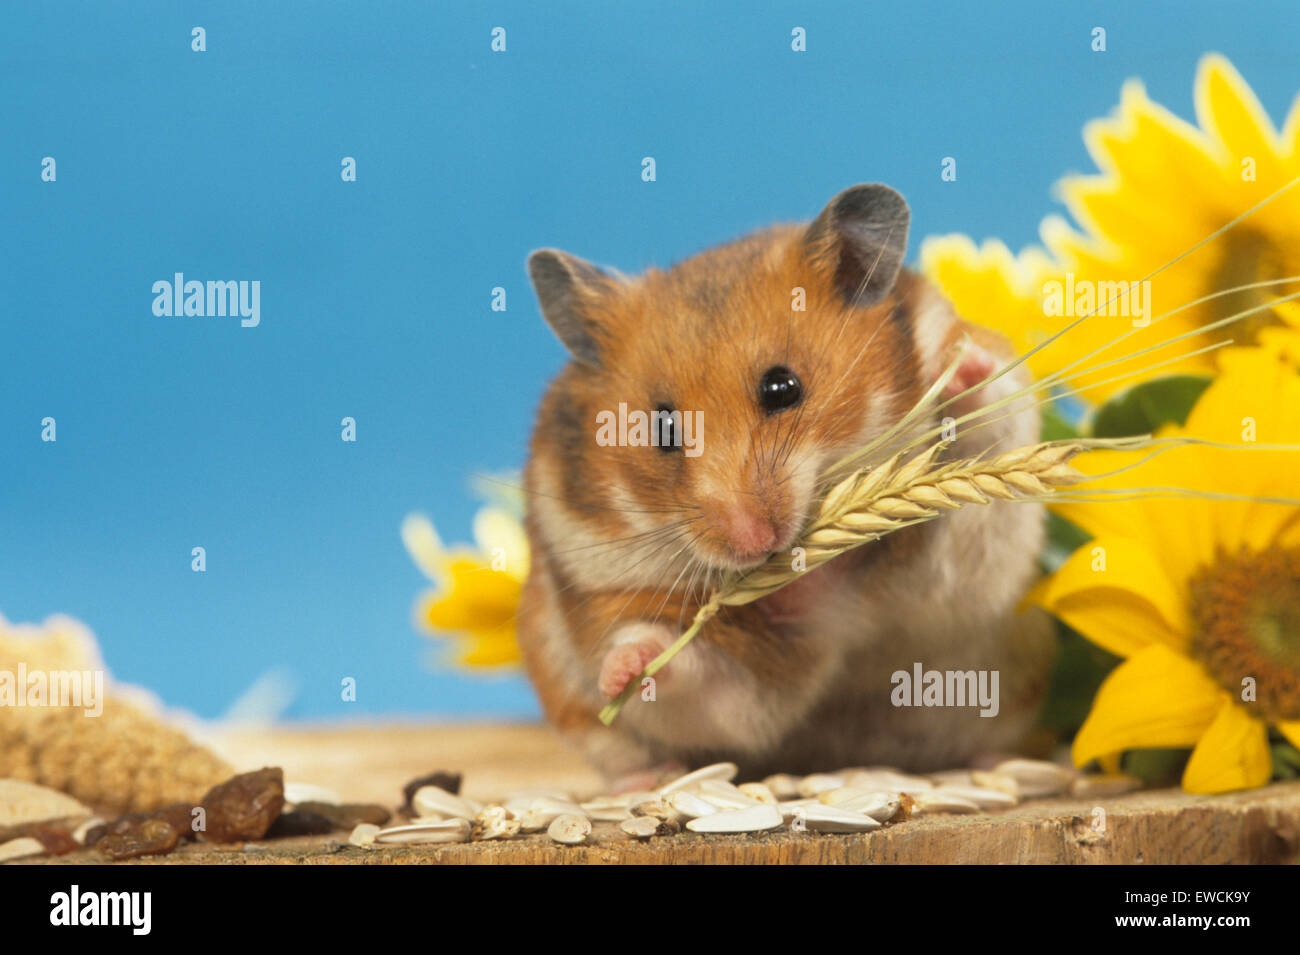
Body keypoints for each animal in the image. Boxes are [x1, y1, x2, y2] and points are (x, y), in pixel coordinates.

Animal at [517, 183, 1054, 785]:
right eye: (661, 427)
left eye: (783, 387)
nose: (754, 543)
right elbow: (692, 670)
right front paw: (624, 671)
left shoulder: (954, 561)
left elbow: (983, 421)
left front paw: (961, 372)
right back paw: (649, 777)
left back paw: (1006, 765)